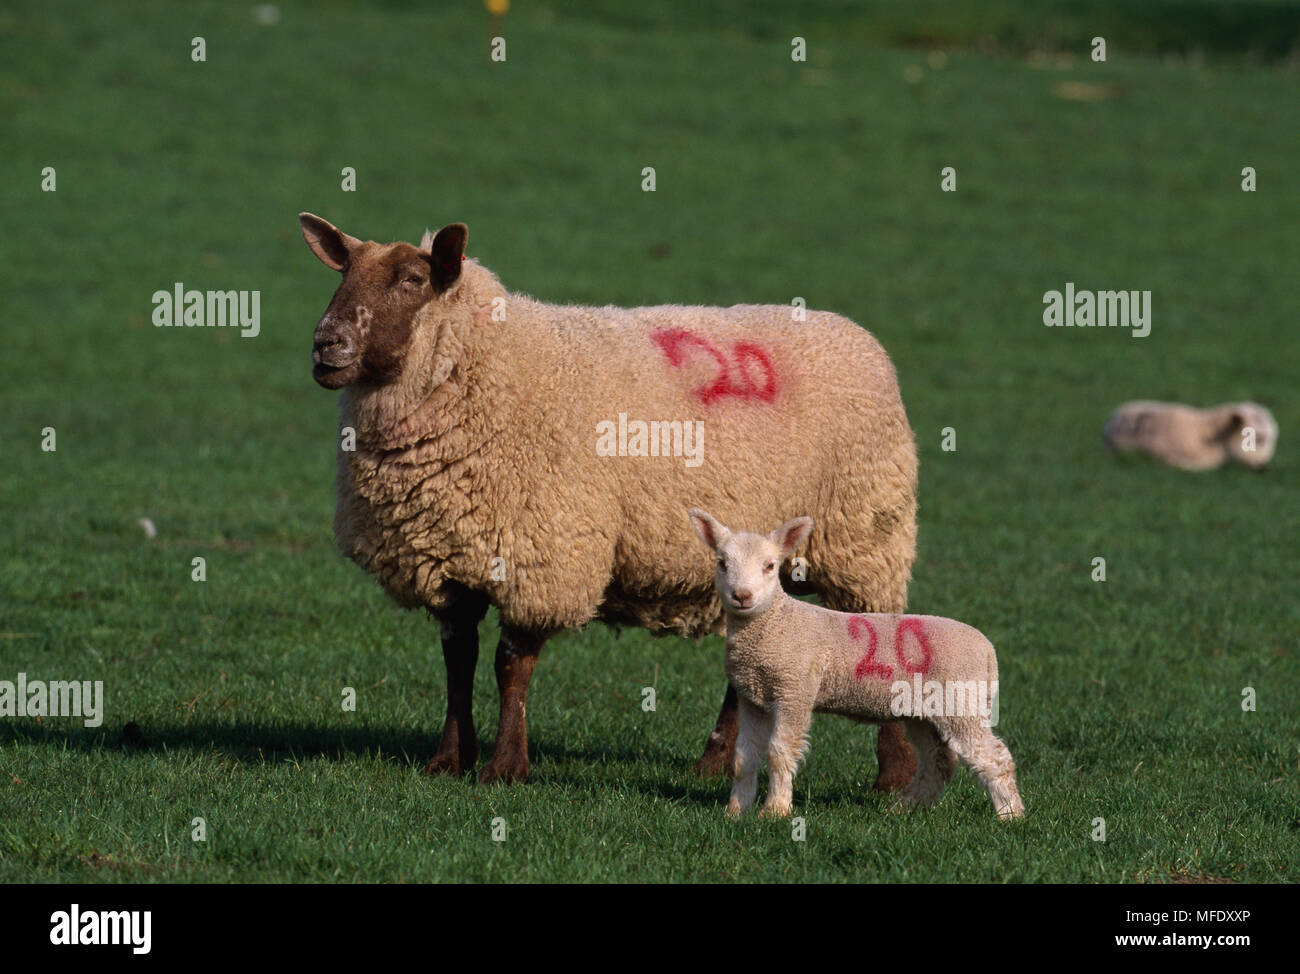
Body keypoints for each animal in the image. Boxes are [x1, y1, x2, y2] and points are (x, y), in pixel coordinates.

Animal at [298, 212, 920, 786]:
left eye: (411, 279)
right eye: (345, 272)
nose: (326, 342)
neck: (493, 366)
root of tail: (858, 337)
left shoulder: (543, 557)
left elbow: (510, 665)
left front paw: (505, 767)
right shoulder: (448, 558)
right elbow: (458, 659)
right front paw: (450, 760)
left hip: (865, 538)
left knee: (883, 639)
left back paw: (894, 776)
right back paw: (715, 764)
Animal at [688, 508, 1025, 820]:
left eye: (770, 566)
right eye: (722, 563)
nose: (742, 596)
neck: (776, 623)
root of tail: (987, 649)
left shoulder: (795, 691)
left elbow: (779, 753)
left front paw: (775, 812)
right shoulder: (751, 697)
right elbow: (744, 758)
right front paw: (735, 811)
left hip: (960, 699)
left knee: (994, 757)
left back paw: (1010, 814)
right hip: (924, 712)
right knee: (938, 761)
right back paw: (905, 808)